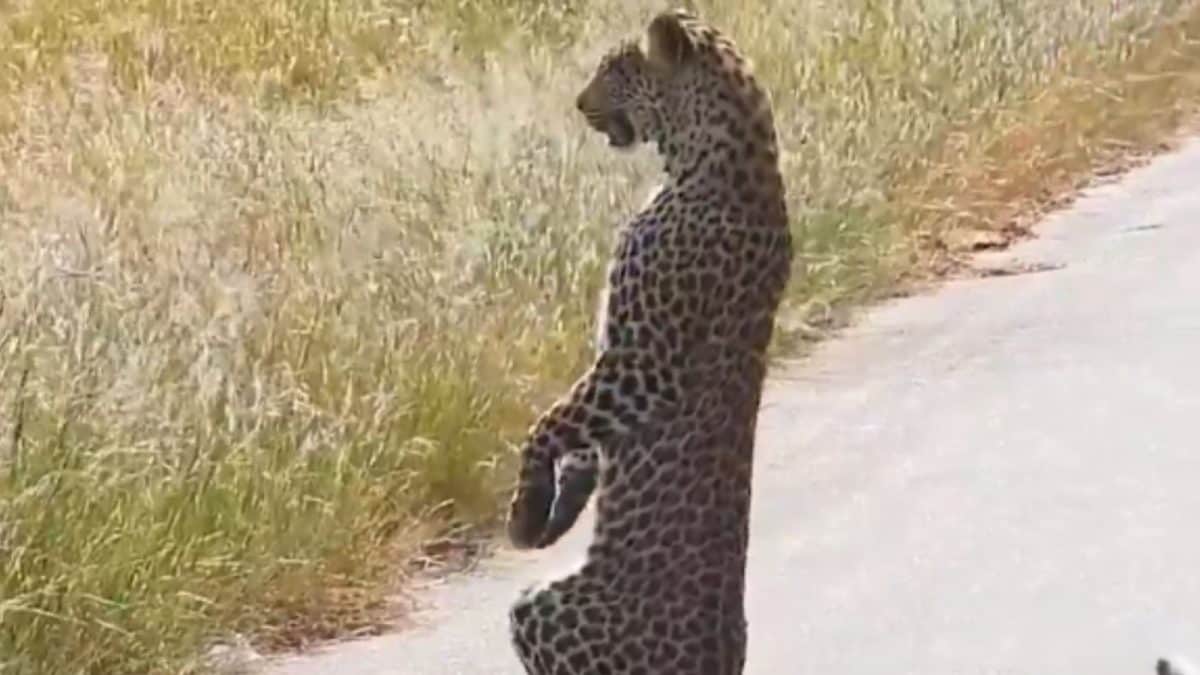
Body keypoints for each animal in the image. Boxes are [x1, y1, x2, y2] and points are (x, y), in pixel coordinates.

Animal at [504, 7, 794, 674]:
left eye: (614, 69)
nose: (579, 103)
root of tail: (716, 663)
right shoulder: (615, 359)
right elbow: (576, 422)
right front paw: (563, 503)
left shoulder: (643, 365)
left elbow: (550, 419)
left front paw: (526, 510)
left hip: (539, 607)